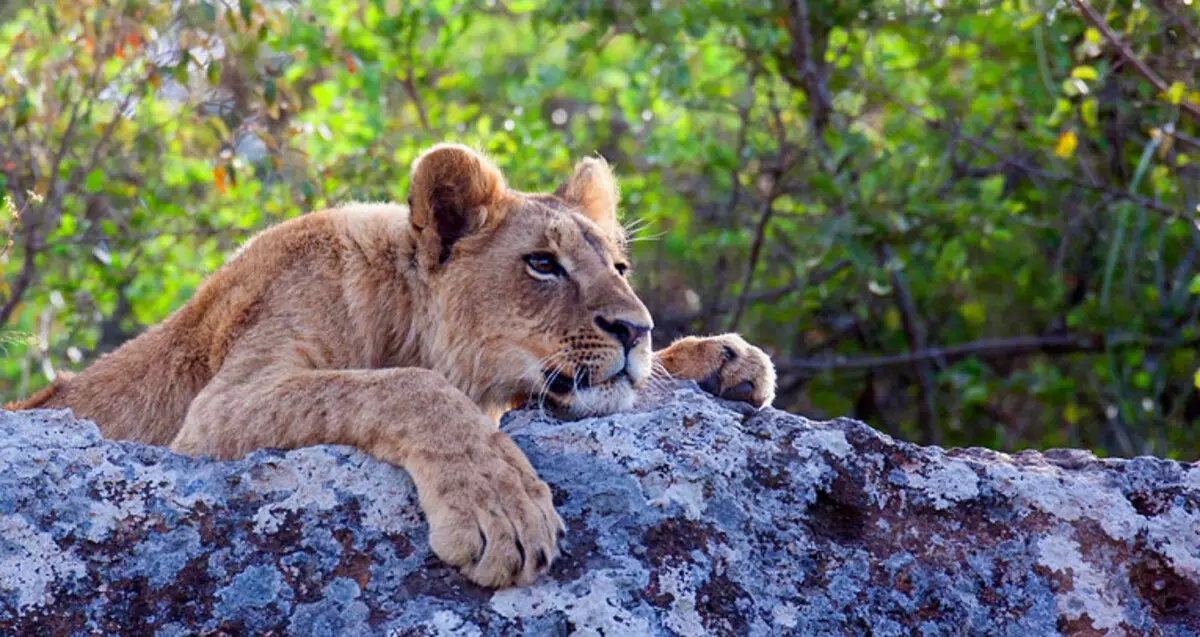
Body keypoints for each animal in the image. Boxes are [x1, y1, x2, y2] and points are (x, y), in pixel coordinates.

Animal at [7, 144, 777, 587]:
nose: (635, 329)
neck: (403, 312)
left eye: (619, 268)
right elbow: (413, 387)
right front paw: (502, 507)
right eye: (542, 264)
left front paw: (722, 359)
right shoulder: (215, 412)